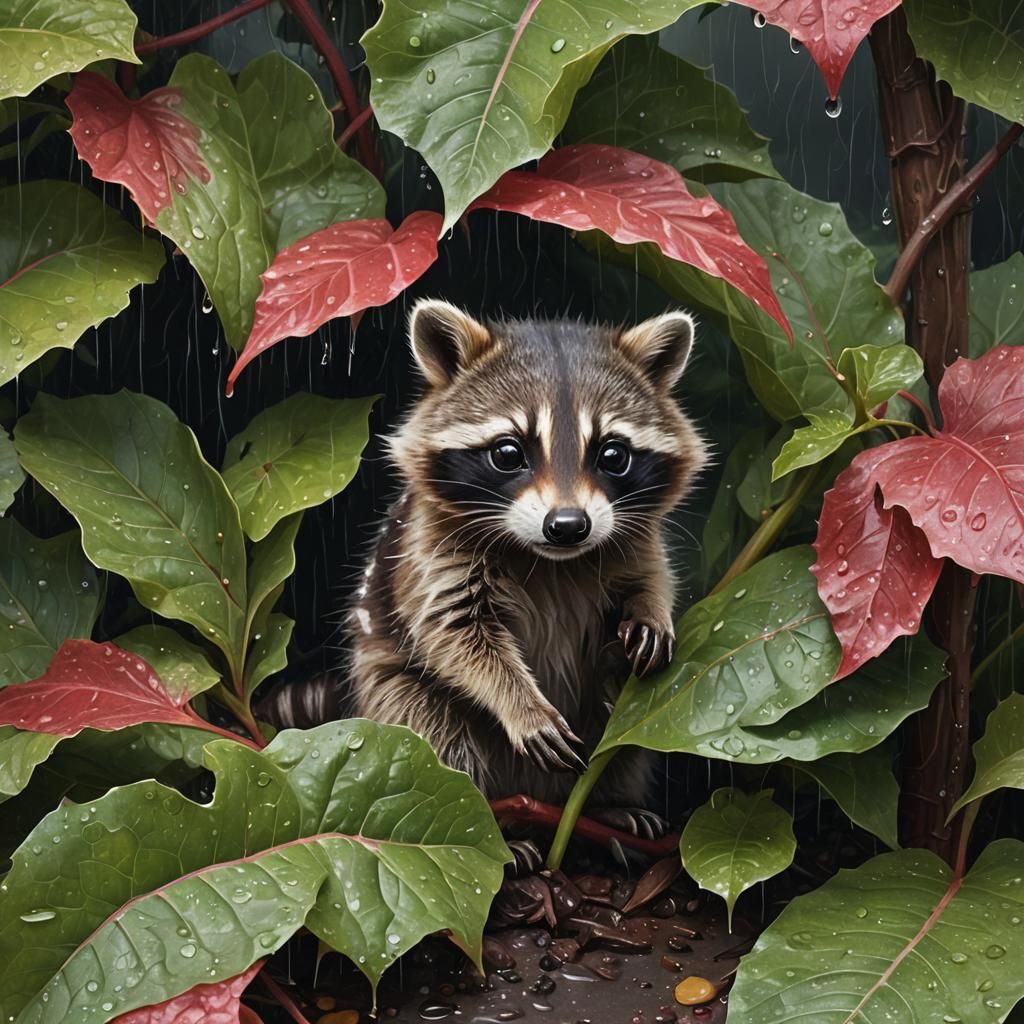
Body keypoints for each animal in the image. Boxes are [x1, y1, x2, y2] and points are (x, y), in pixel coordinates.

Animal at [348, 301, 707, 832]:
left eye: (613, 454)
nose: (568, 526)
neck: (553, 560)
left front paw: (650, 610)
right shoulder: (429, 550)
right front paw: (520, 703)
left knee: (620, 747)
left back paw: (609, 804)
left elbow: (653, 575)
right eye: (508, 452)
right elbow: (456, 633)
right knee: (432, 733)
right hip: (393, 696)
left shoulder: (635, 538)